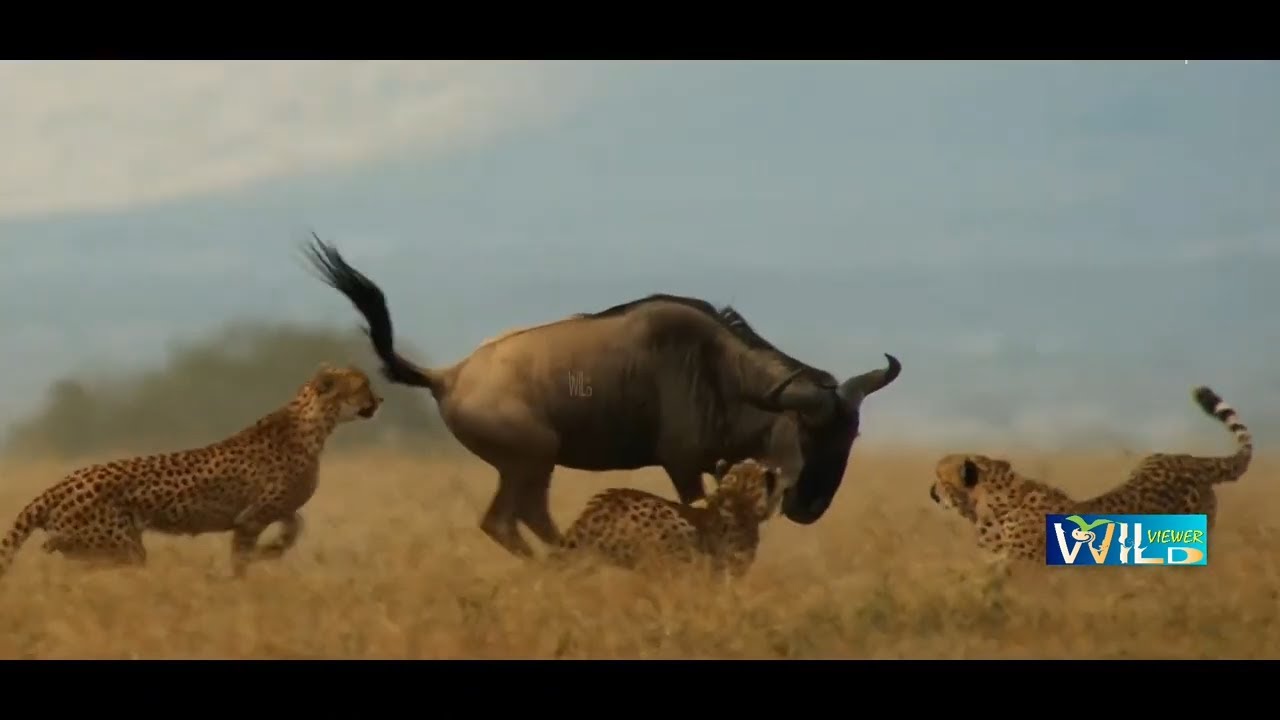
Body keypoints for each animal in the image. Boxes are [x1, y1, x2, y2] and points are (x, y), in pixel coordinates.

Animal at [0, 362, 383, 580]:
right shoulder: (252, 517)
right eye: (362, 385)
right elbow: (243, 555)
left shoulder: (272, 509)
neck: (314, 423)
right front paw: (244, 575)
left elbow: (296, 525)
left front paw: (273, 550)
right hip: (121, 547)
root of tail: (59, 484)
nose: (379, 400)